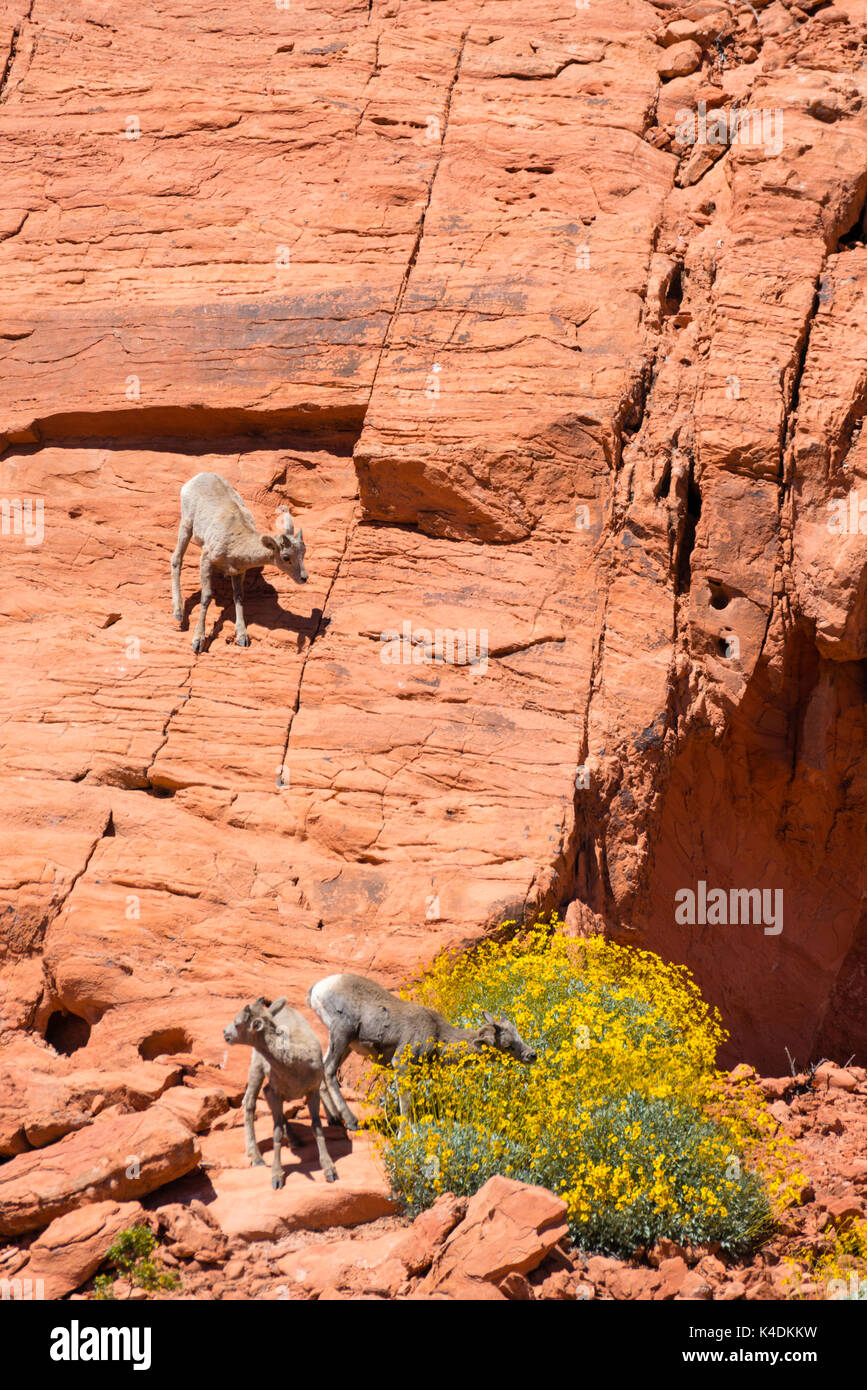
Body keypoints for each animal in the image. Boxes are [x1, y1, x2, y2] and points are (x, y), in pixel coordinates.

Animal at [171, 472, 308, 652]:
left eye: (303, 553)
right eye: (286, 557)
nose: (304, 578)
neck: (236, 540)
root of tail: (198, 477)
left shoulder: (239, 572)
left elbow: (238, 597)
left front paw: (242, 637)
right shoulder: (206, 560)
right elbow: (206, 597)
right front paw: (198, 641)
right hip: (186, 525)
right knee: (176, 559)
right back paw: (178, 612)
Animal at [223, 996, 339, 1187]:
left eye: (238, 1023)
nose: (225, 1032)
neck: (294, 1067)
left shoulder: (312, 1092)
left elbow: (317, 1127)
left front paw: (330, 1171)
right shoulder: (275, 1093)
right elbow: (276, 1134)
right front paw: (277, 1177)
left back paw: (295, 1140)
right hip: (256, 1069)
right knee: (249, 1103)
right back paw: (257, 1158)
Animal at [308, 972, 537, 1128]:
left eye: (519, 1035)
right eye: (508, 1046)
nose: (532, 1055)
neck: (438, 1036)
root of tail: (316, 990)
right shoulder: (401, 1065)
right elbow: (406, 1107)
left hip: (346, 1044)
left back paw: (334, 1118)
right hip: (342, 1032)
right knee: (329, 1070)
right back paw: (350, 1121)